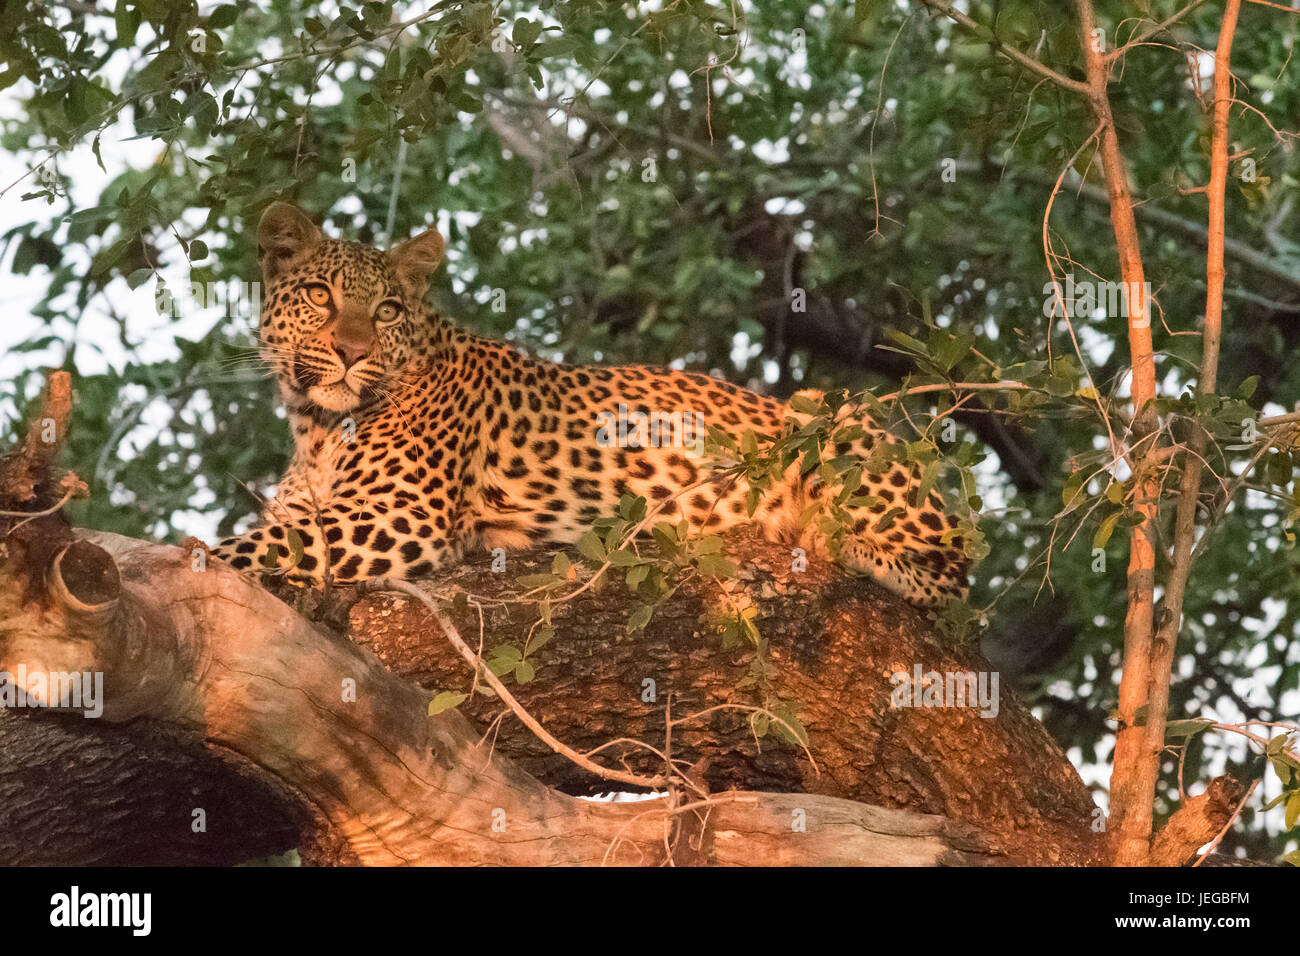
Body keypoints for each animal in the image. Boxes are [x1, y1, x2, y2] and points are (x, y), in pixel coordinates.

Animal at [209, 202, 971, 606]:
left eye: (386, 310)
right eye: (319, 296)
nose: (349, 352)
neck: (315, 425)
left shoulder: (402, 515)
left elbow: (252, 547)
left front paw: (193, 558)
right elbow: (274, 529)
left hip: (832, 421)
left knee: (954, 578)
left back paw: (834, 538)